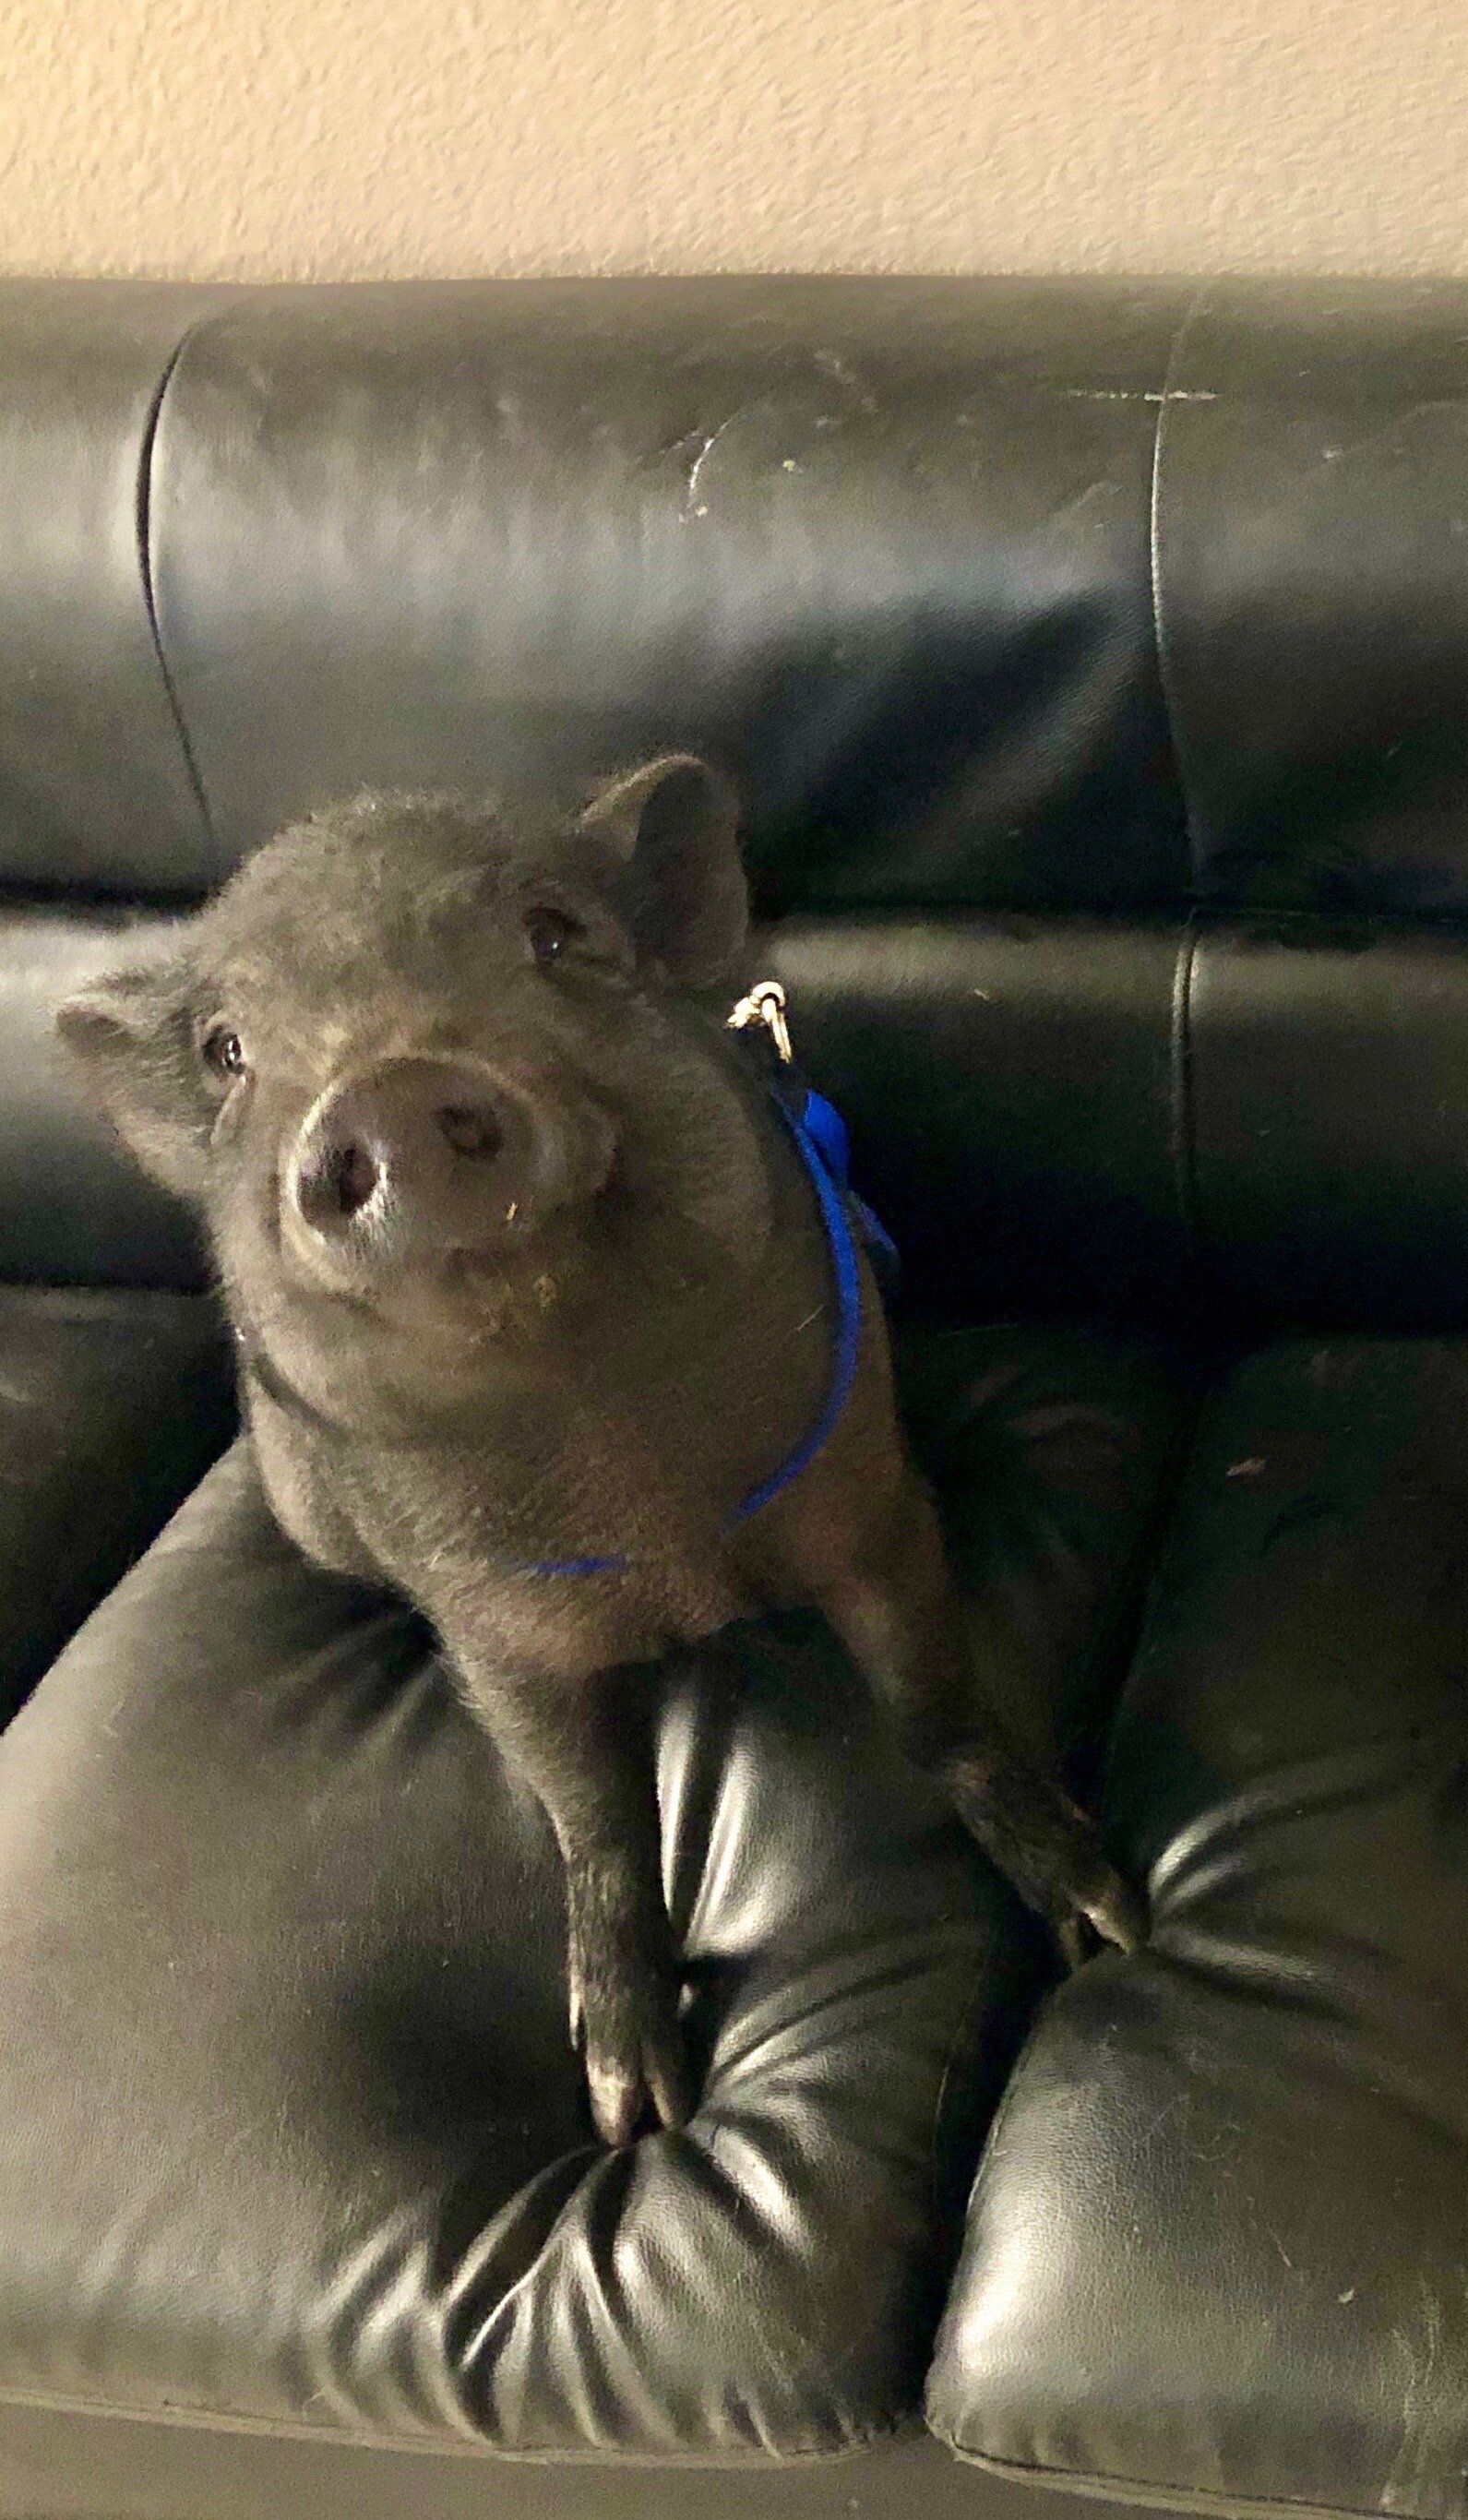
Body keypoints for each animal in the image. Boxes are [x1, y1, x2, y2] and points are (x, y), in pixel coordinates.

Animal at [58, 756, 1145, 2147]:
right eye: (227, 1050)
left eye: (554, 935)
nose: (387, 1086)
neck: (654, 1525)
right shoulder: (496, 1625)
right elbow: (595, 1813)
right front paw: (634, 2109)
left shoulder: (862, 1502)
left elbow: (933, 1698)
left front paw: (1106, 1925)